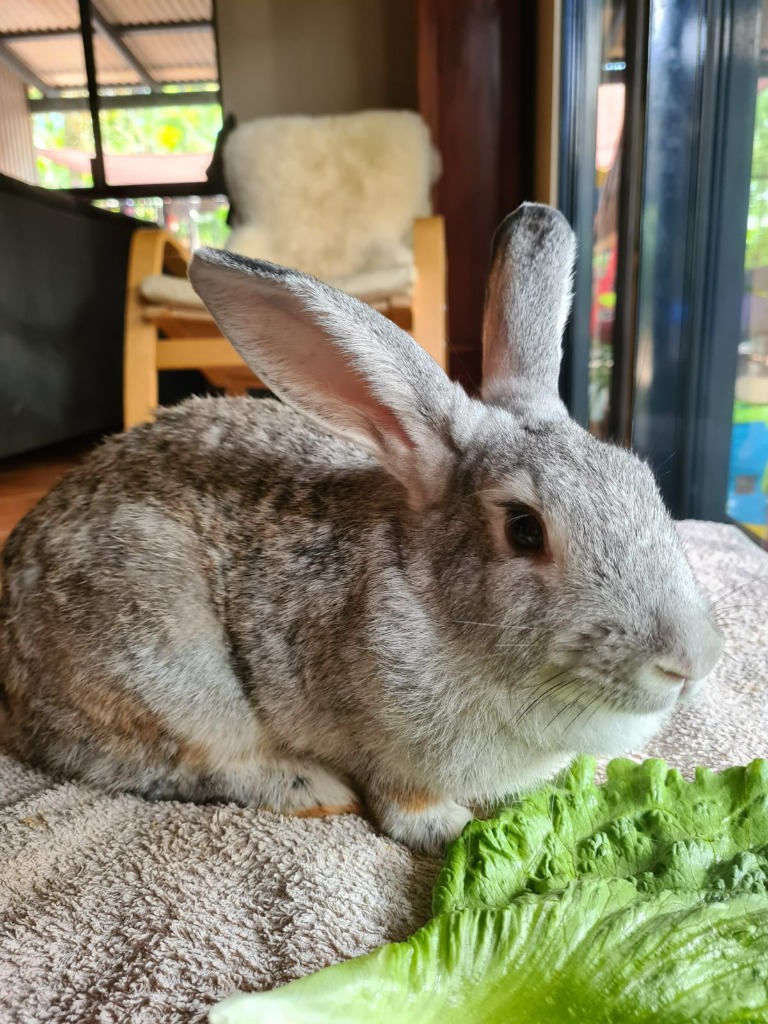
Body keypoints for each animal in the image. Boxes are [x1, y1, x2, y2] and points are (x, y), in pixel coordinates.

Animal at [0, 204, 723, 854]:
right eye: (524, 528)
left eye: (643, 482)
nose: (691, 664)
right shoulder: (393, 749)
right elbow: (405, 801)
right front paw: (447, 829)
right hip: (164, 655)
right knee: (166, 762)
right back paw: (310, 788)